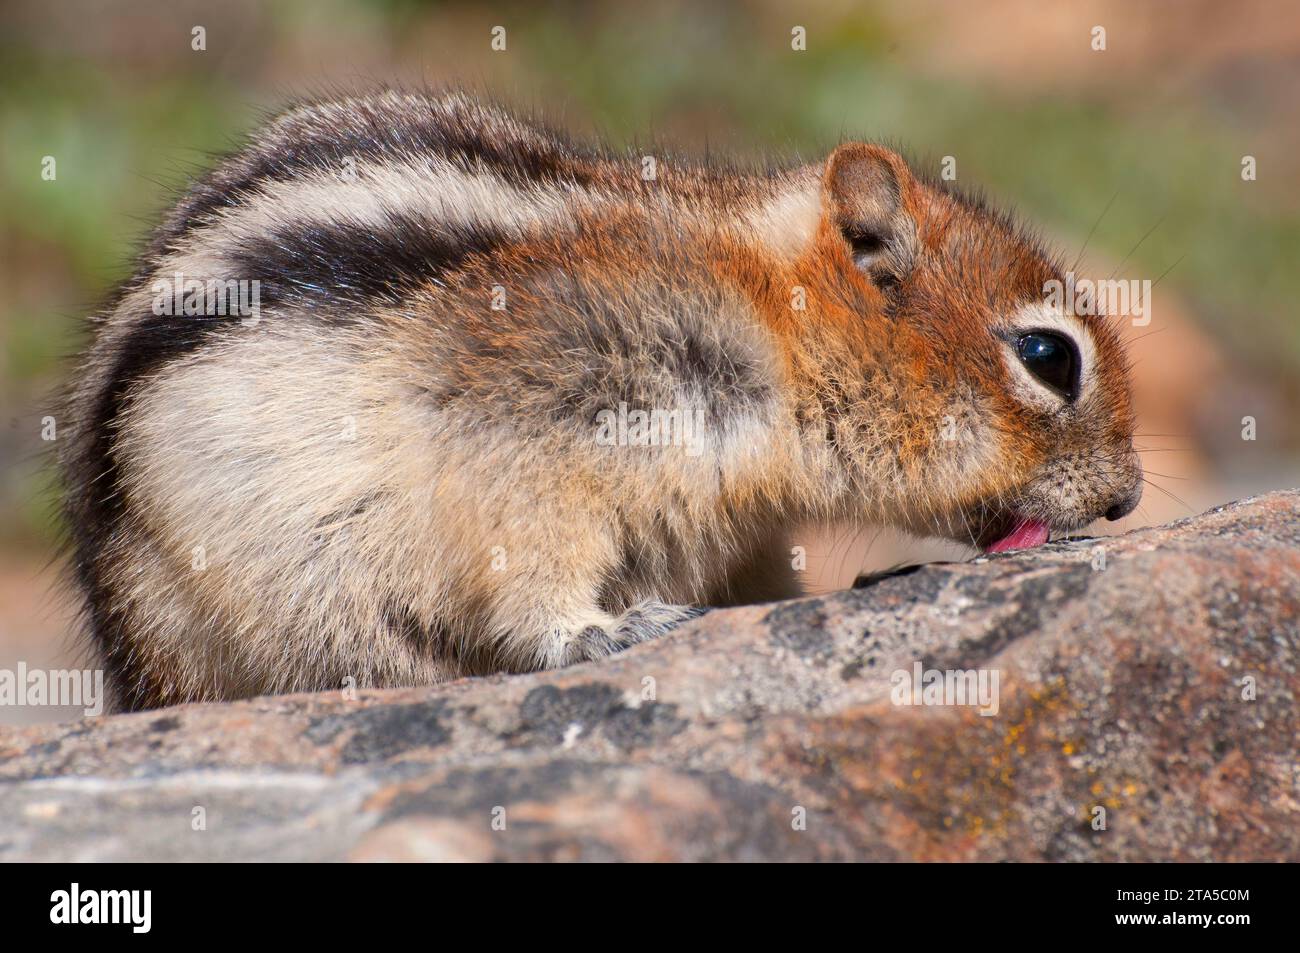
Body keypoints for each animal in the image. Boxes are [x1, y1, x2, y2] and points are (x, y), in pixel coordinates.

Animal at [59, 89, 1143, 711]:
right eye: (1048, 355)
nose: (1127, 498)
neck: (768, 319)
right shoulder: (530, 433)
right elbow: (529, 566)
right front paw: (596, 631)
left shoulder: (732, 527)